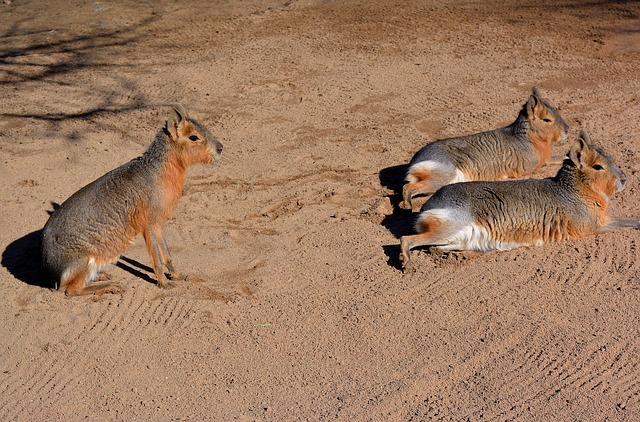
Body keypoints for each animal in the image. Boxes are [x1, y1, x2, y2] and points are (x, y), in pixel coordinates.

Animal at [41, 104, 223, 296]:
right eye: (194, 137)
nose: (220, 147)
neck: (160, 172)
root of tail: (50, 271)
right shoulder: (147, 224)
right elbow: (156, 258)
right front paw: (163, 283)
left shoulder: (157, 222)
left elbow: (166, 253)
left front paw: (178, 275)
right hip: (84, 259)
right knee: (70, 290)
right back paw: (110, 286)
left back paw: (101, 276)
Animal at [400, 131, 639, 270]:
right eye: (598, 166)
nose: (624, 179)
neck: (573, 190)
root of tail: (428, 205)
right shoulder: (594, 225)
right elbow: (628, 219)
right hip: (449, 227)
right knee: (407, 239)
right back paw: (407, 263)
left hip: (457, 236)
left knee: (440, 247)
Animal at [402, 87, 569, 211]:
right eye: (547, 120)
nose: (567, 130)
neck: (528, 139)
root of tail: (414, 162)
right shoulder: (531, 168)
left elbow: (563, 157)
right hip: (443, 178)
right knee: (407, 187)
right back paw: (407, 208)